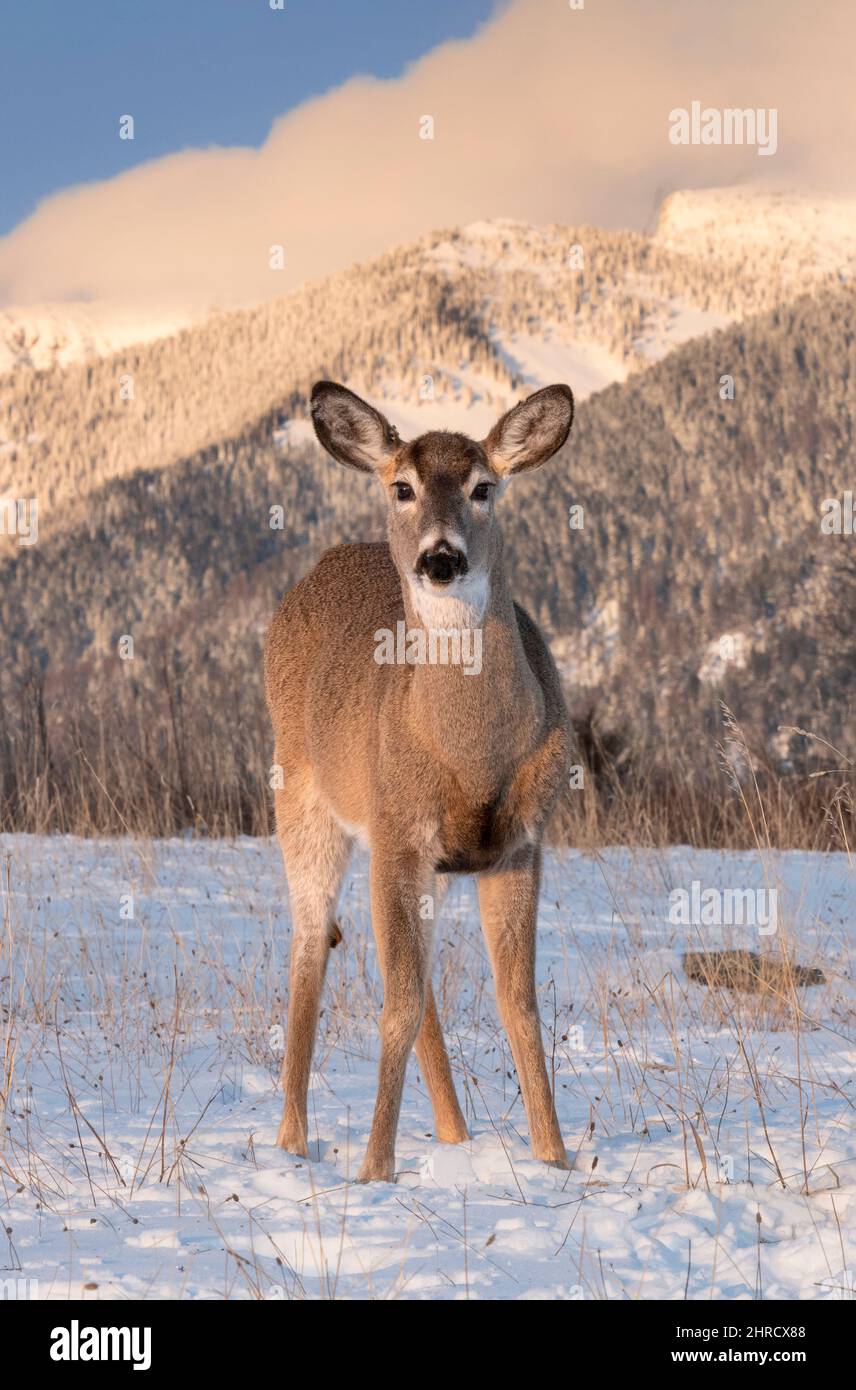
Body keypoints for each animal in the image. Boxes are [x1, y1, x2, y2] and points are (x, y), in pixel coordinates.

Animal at [265, 379, 574, 1182]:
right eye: (401, 487)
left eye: (484, 487)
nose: (440, 558)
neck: (471, 760)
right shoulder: (398, 833)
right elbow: (397, 1005)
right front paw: (375, 1169)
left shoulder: (520, 844)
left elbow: (519, 1003)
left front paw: (555, 1158)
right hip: (304, 797)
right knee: (310, 944)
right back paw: (292, 1139)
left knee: (410, 972)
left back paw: (455, 1132)